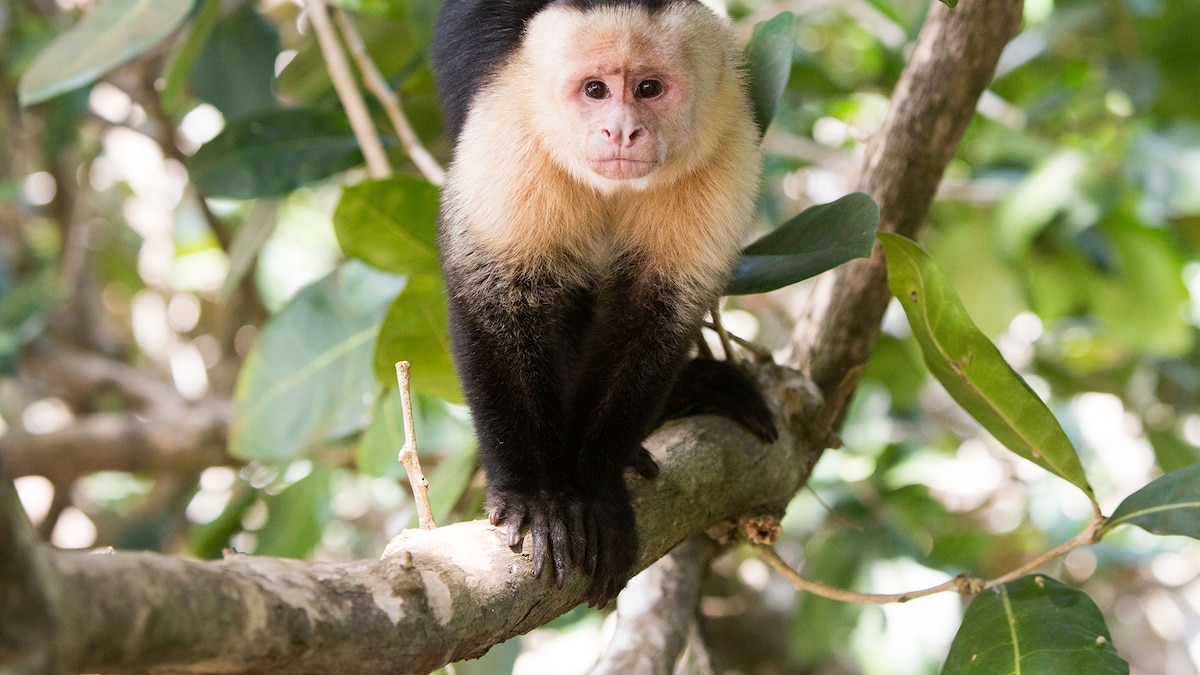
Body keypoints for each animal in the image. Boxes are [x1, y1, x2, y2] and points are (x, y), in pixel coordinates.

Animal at [431, 0, 776, 607]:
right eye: (595, 90)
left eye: (648, 88)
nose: (621, 129)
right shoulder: (512, 134)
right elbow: (496, 294)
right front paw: (538, 495)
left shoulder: (725, 150)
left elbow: (655, 318)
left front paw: (596, 487)